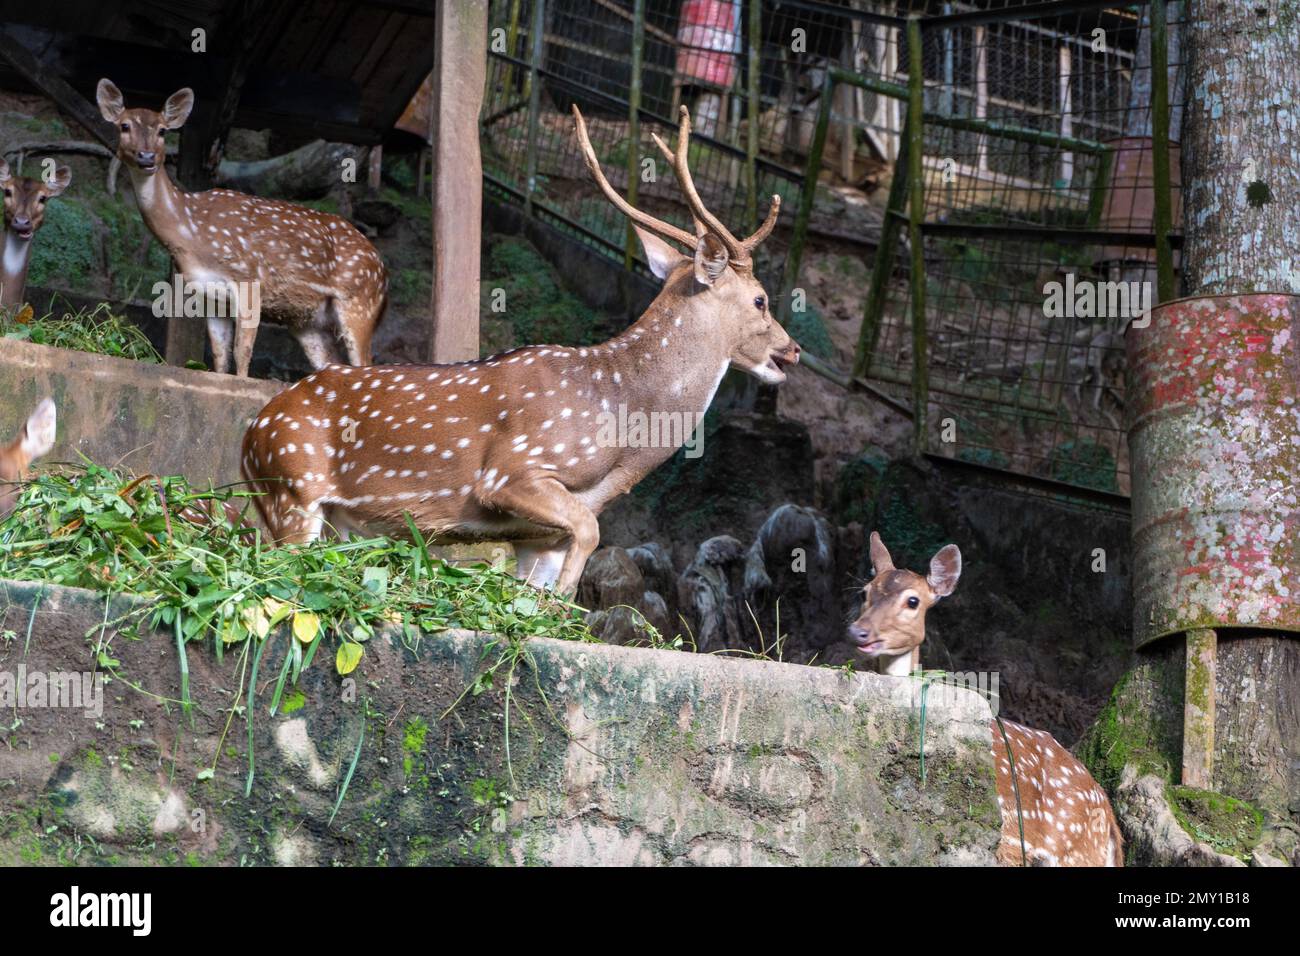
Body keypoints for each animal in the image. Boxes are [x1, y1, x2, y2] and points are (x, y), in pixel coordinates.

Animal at [95, 79, 388, 377]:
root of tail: (382, 269)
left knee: (366, 362)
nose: (146, 157)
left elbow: (242, 353)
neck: (192, 232)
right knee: (334, 364)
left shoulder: (249, 280)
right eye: (124, 126)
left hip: (360, 302)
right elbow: (220, 356)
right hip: (308, 322)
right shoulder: (210, 297)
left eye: (163, 130)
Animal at [241, 105, 800, 595]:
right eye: (760, 299)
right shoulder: (512, 471)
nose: (792, 351)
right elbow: (589, 540)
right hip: (292, 490)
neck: (619, 442)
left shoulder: (542, 539)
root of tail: (249, 437)